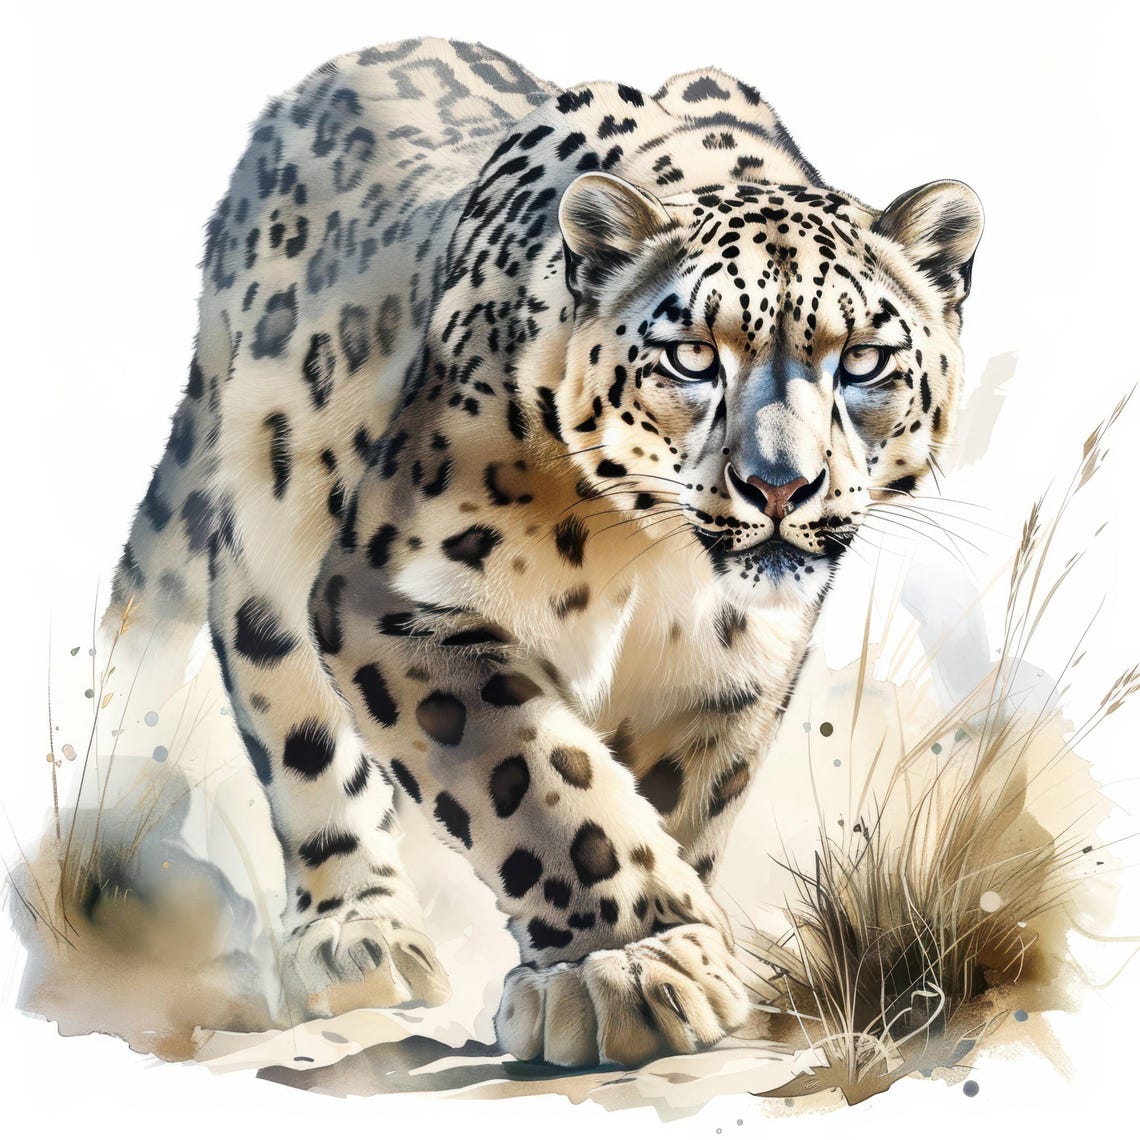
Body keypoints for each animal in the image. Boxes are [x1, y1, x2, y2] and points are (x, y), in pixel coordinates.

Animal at [103, 36, 983, 1067]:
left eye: (865, 360)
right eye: (692, 354)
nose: (779, 486)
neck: (654, 565)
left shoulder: (732, 664)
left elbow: (670, 797)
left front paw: (661, 953)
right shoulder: (397, 595)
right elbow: (539, 781)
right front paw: (629, 971)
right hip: (266, 535)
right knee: (297, 726)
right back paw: (359, 935)